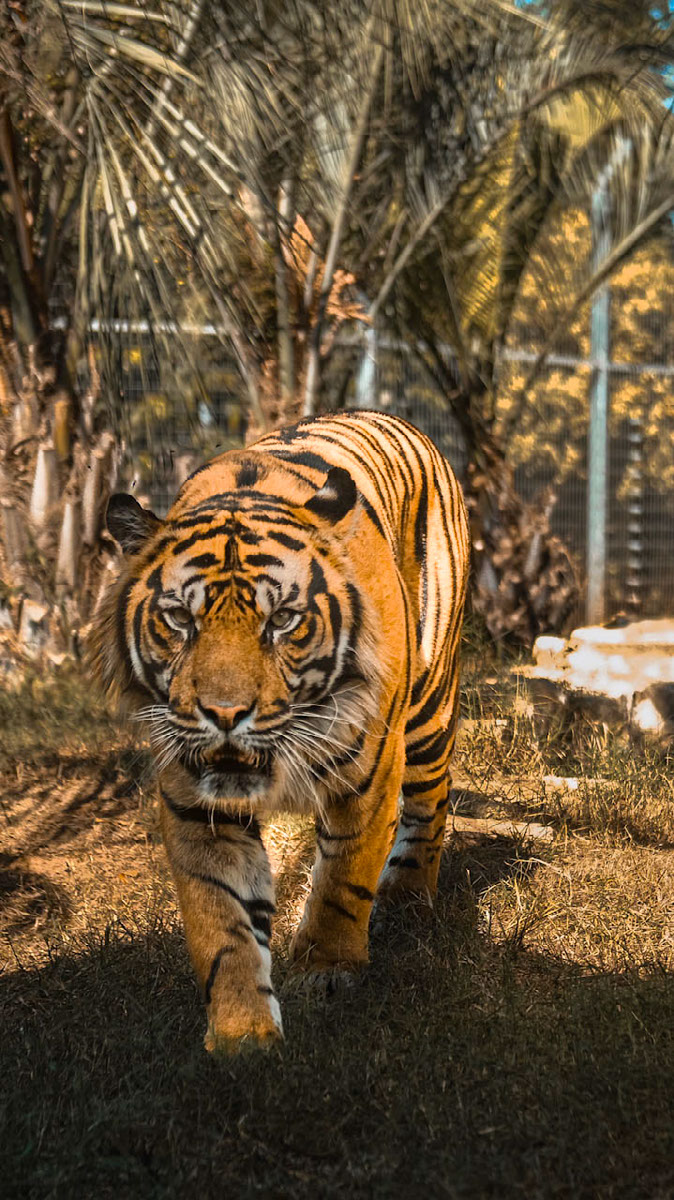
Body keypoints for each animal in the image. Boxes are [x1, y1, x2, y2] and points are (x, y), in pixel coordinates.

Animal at [90, 410, 469, 1053]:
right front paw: (242, 1033)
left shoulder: (366, 773)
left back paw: (408, 896)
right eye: (180, 619)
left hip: (427, 703)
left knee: (431, 799)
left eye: (283, 620)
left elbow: (344, 877)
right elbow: (221, 920)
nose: (224, 714)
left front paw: (326, 970)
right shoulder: (194, 803)